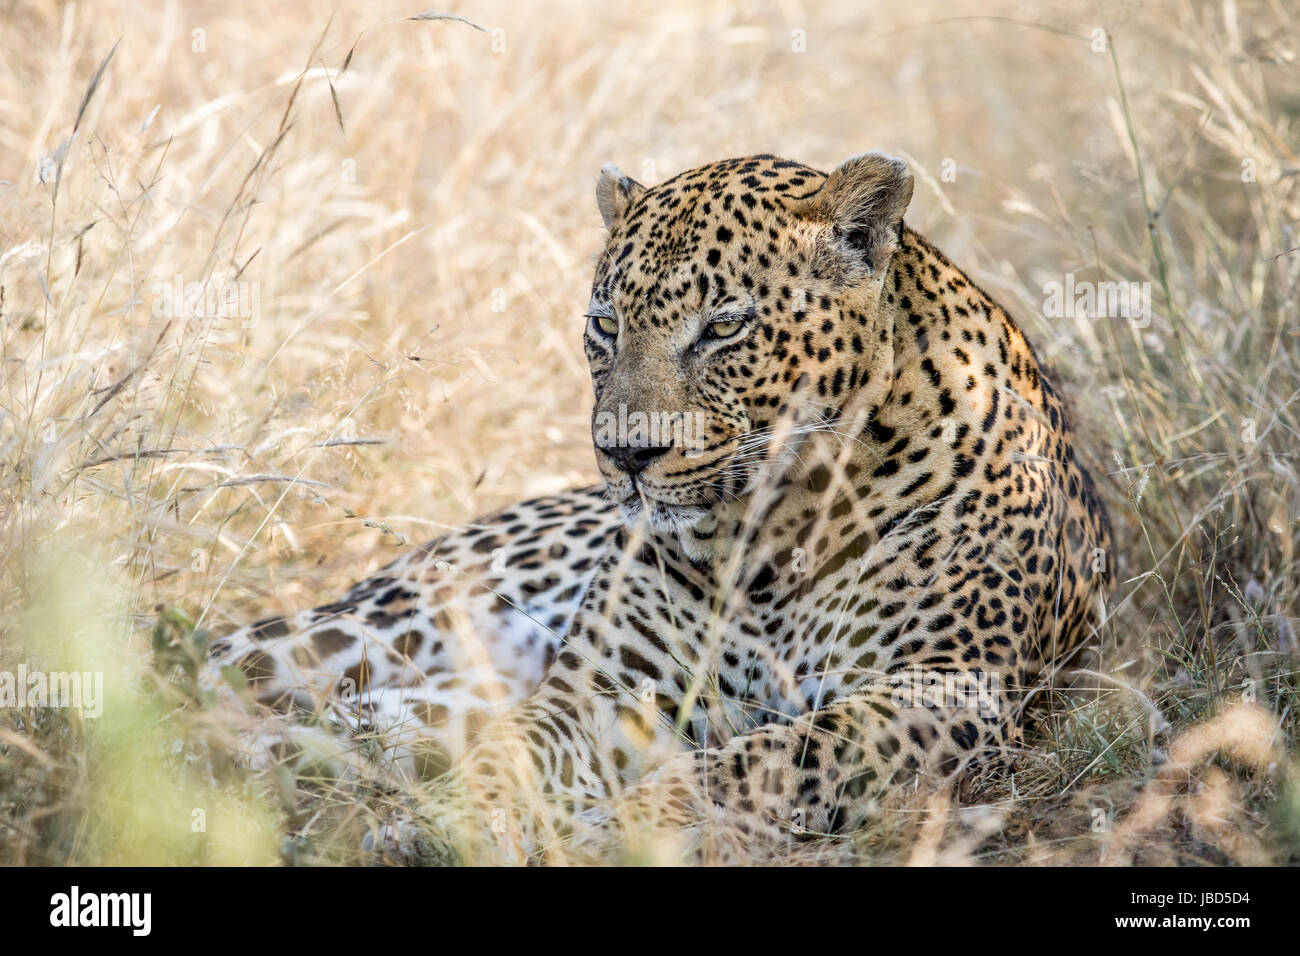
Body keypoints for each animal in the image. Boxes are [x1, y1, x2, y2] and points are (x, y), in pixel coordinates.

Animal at [207, 151, 1113, 864]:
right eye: (605, 324)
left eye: (725, 327)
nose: (626, 456)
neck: (768, 537)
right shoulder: (601, 692)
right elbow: (515, 759)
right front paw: (454, 824)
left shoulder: (942, 690)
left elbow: (762, 761)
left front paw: (620, 830)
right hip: (369, 628)